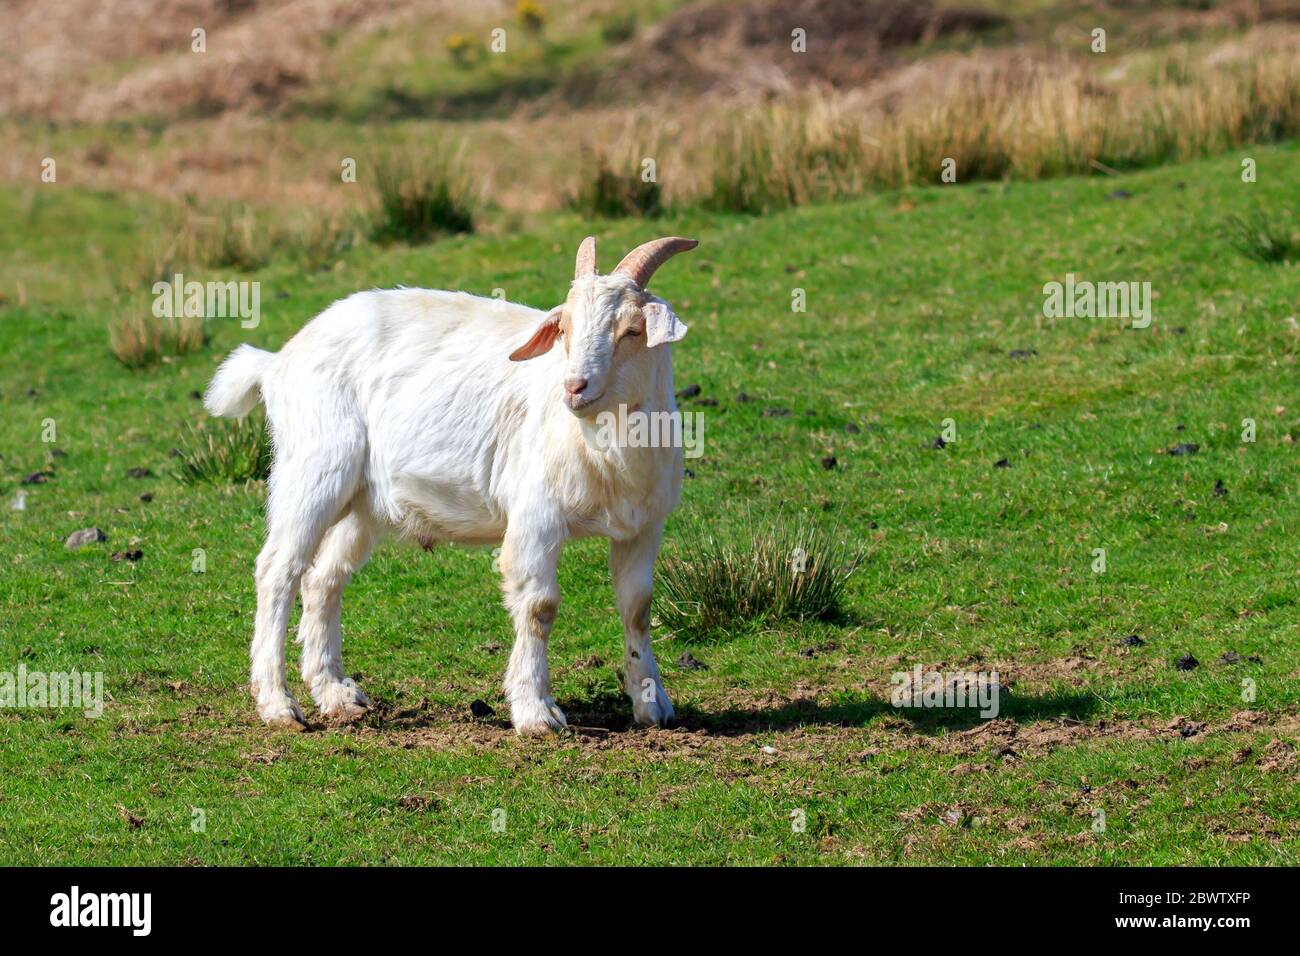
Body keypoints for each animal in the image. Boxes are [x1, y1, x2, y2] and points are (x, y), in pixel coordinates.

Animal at [205, 235, 698, 734]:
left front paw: (653, 705)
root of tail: (276, 362)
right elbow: (539, 607)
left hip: (362, 503)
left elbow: (637, 607)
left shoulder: (643, 525)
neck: (607, 449)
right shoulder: (536, 515)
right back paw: (278, 704)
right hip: (314, 467)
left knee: (323, 579)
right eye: (564, 328)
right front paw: (537, 712)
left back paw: (338, 695)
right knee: (278, 570)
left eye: (632, 331)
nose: (575, 387)